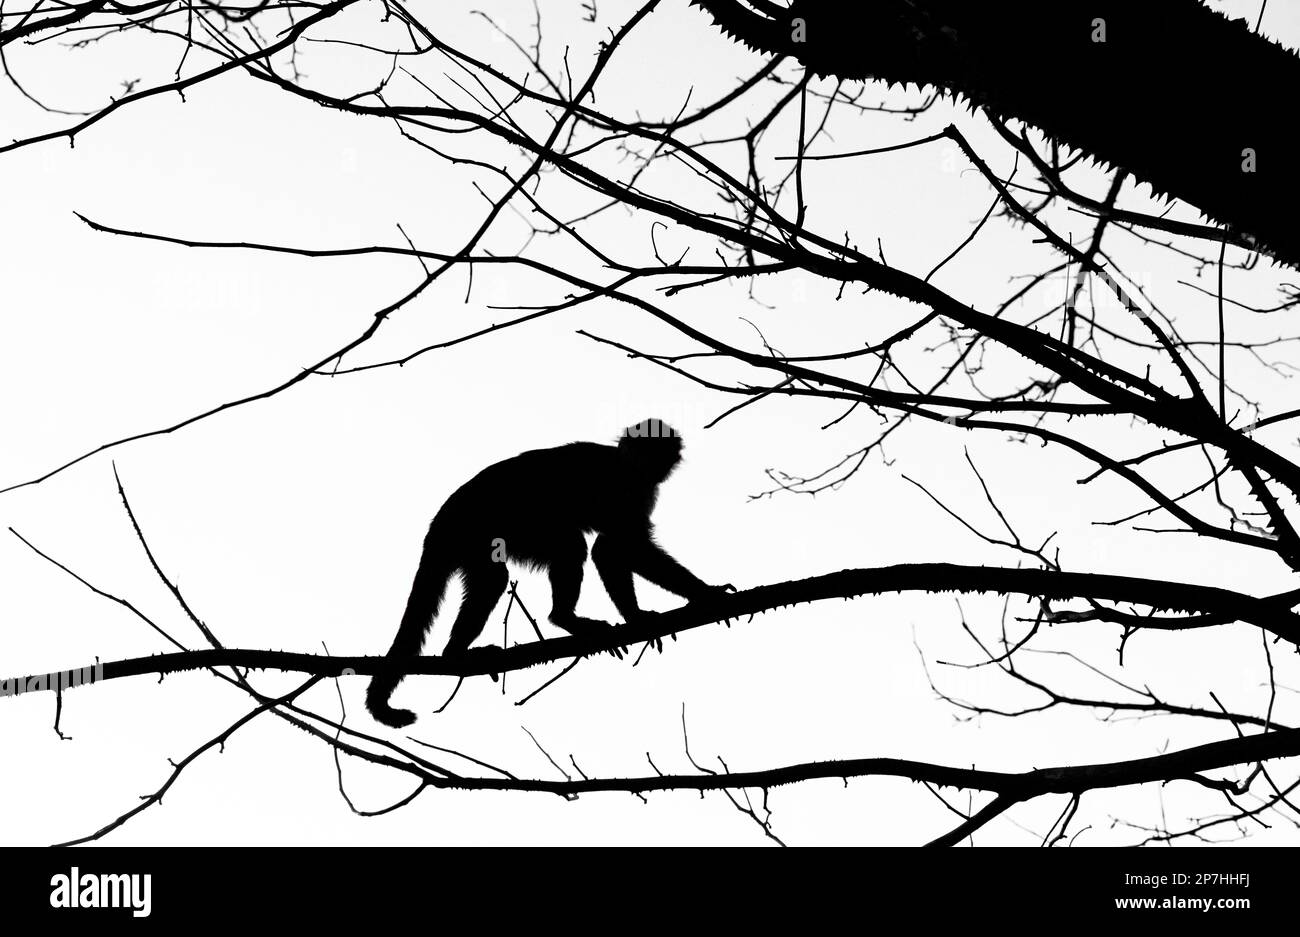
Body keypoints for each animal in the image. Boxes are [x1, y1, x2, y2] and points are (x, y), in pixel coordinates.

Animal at [365, 418, 732, 728]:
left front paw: (668, 606)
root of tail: (442, 520)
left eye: (661, 451)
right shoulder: (621, 488)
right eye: (644, 447)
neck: (627, 469)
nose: (651, 461)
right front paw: (654, 611)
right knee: (561, 549)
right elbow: (614, 549)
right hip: (489, 526)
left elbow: (617, 549)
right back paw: (553, 622)